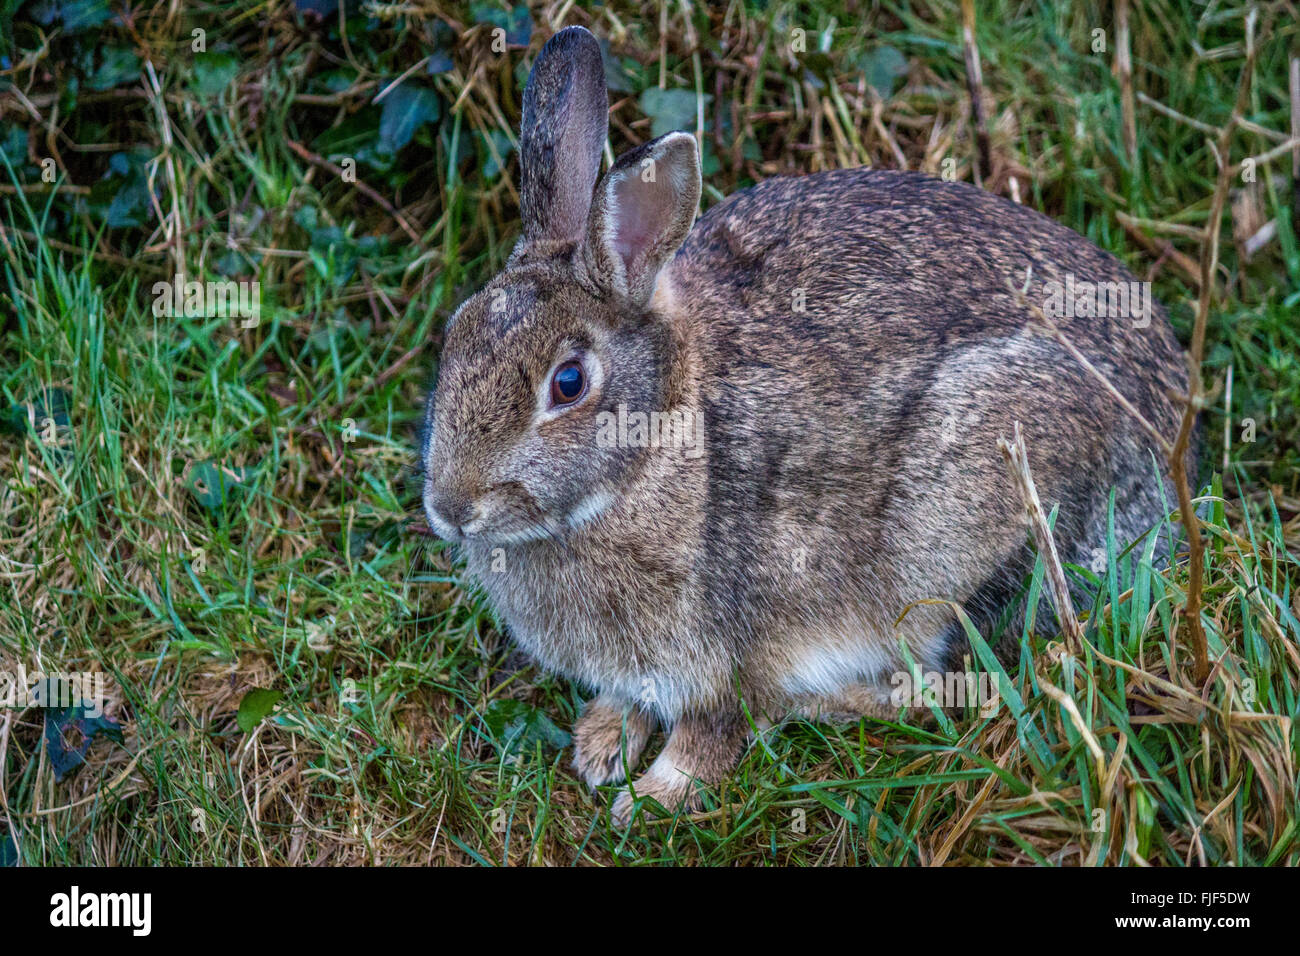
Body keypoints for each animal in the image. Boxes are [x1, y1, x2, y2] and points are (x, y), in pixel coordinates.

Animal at [420, 25, 1195, 824]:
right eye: (455, 335)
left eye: (568, 383)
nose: (450, 508)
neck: (658, 442)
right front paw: (602, 743)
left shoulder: (729, 649)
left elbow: (715, 728)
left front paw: (653, 799)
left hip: (959, 520)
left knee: (948, 679)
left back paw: (823, 705)